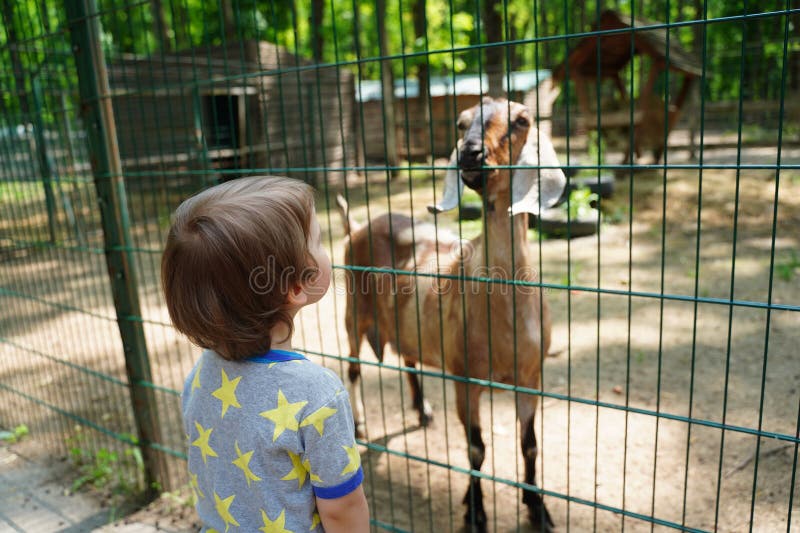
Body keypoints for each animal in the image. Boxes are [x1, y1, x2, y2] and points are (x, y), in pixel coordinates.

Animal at [338, 96, 566, 532]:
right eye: (461, 123)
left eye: (521, 119)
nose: (470, 154)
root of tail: (356, 225)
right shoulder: (465, 379)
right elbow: (476, 448)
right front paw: (475, 511)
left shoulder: (531, 377)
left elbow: (530, 445)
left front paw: (538, 508)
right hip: (354, 311)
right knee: (353, 367)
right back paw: (358, 424)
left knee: (408, 358)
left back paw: (423, 411)